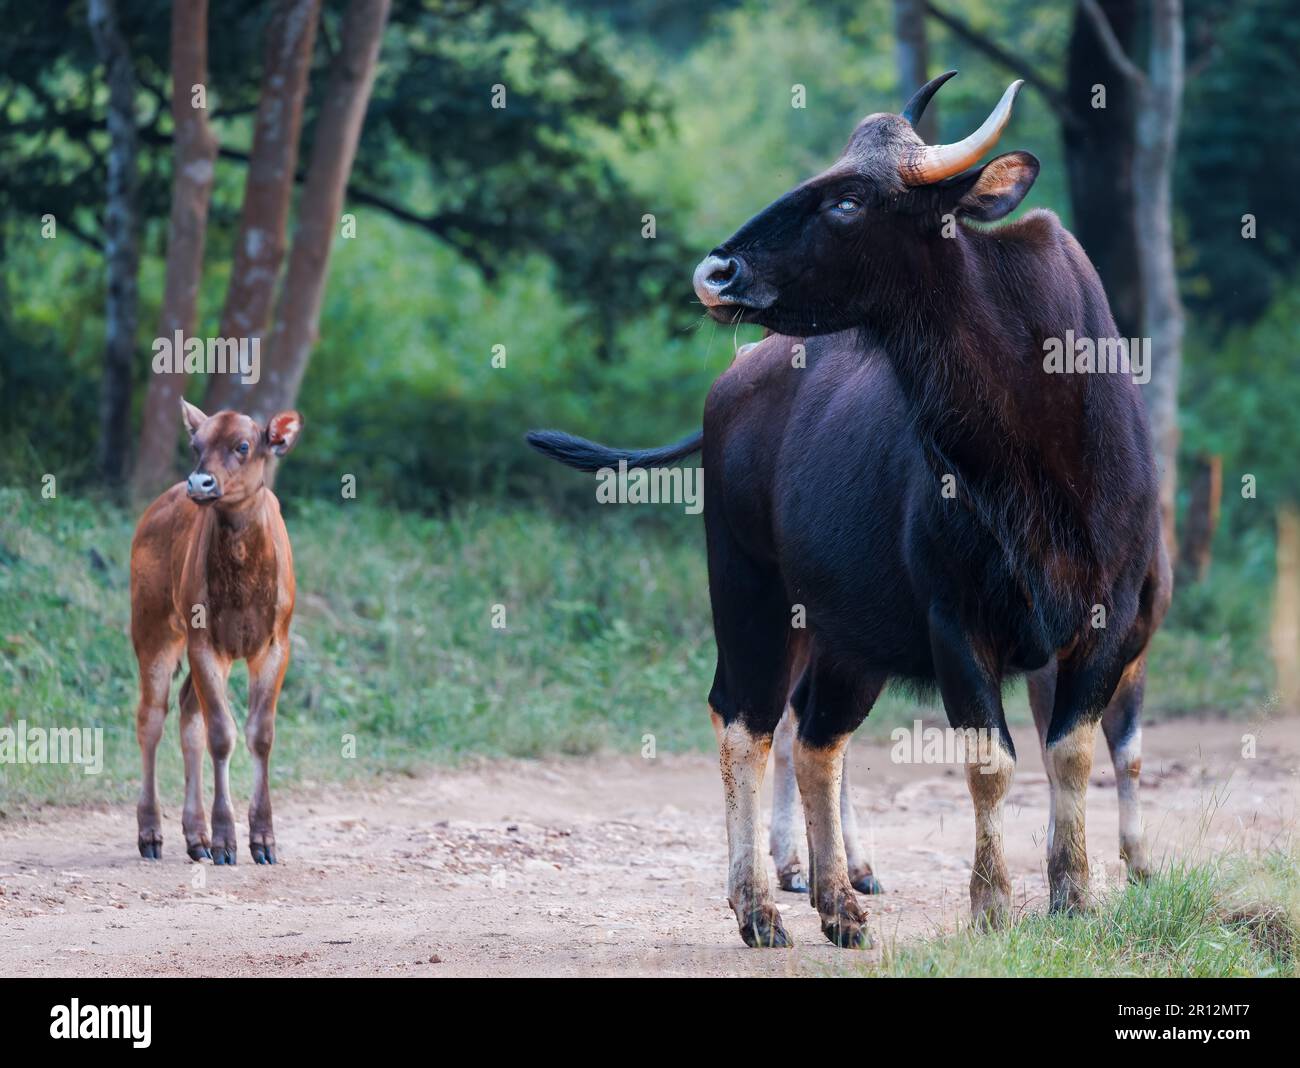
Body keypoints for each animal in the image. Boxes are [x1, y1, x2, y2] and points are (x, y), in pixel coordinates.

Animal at [130, 399, 303, 865]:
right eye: (197, 444)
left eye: (243, 445)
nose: (200, 481)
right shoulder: (204, 640)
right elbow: (222, 735)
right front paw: (227, 840)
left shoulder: (275, 643)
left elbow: (260, 735)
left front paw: (263, 841)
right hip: (151, 625)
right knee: (152, 717)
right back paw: (151, 834)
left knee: (188, 710)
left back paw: (196, 838)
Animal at [529, 70, 1169, 949]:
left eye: (848, 200)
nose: (714, 273)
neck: (1039, 443)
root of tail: (727, 391)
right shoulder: (955, 622)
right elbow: (991, 761)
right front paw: (992, 905)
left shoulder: (1112, 622)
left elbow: (1073, 750)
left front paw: (1074, 895)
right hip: (753, 592)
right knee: (747, 722)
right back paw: (759, 905)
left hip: (845, 633)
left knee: (817, 740)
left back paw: (837, 902)